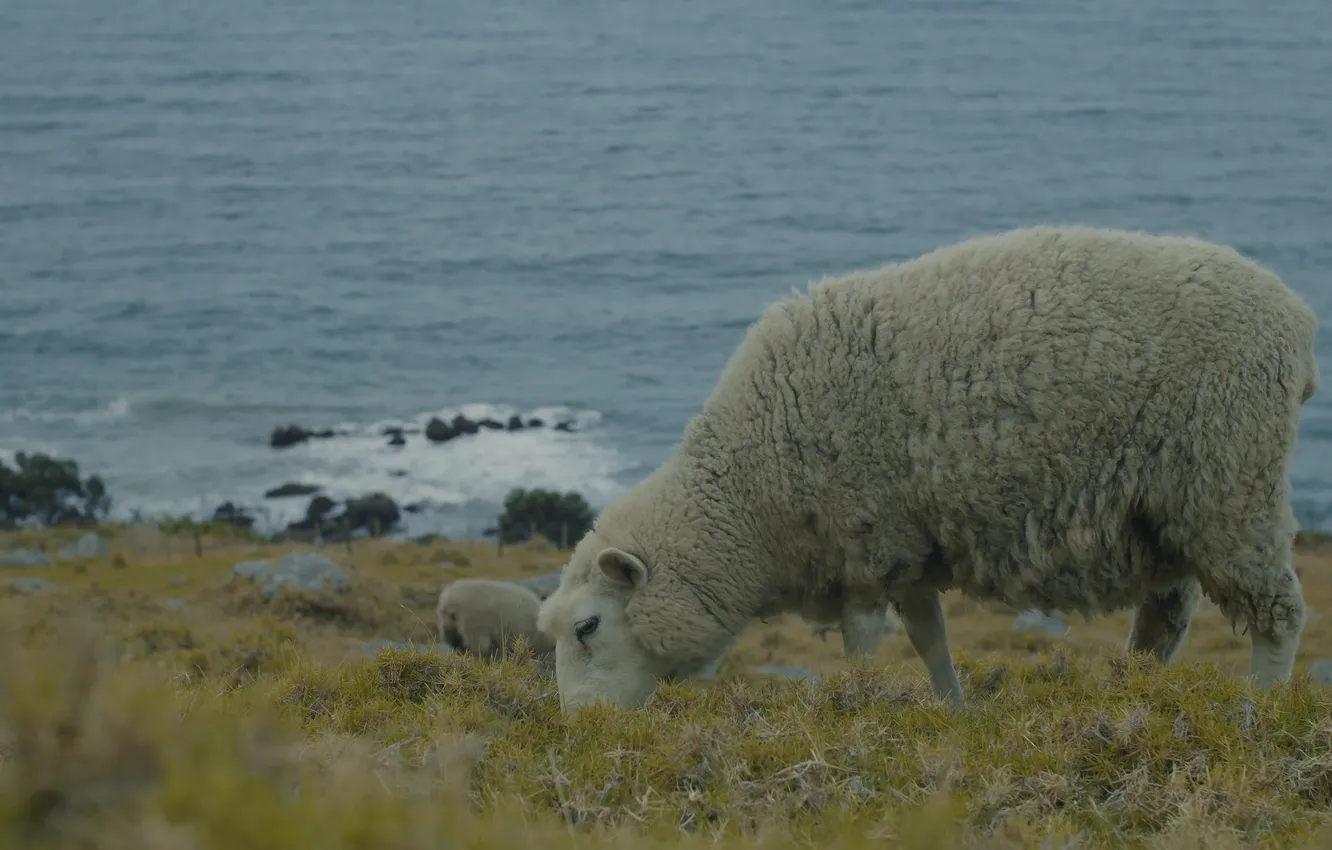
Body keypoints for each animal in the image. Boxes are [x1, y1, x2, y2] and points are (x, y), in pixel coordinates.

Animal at [537, 225, 1319, 711]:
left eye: (588, 628)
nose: (579, 726)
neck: (753, 492)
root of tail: (1295, 319)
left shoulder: (864, 536)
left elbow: (861, 642)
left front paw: (857, 705)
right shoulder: (905, 543)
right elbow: (928, 636)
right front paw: (952, 709)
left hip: (1232, 484)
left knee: (1279, 615)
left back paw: (1260, 713)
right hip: (1167, 508)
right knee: (1167, 616)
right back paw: (1138, 689)